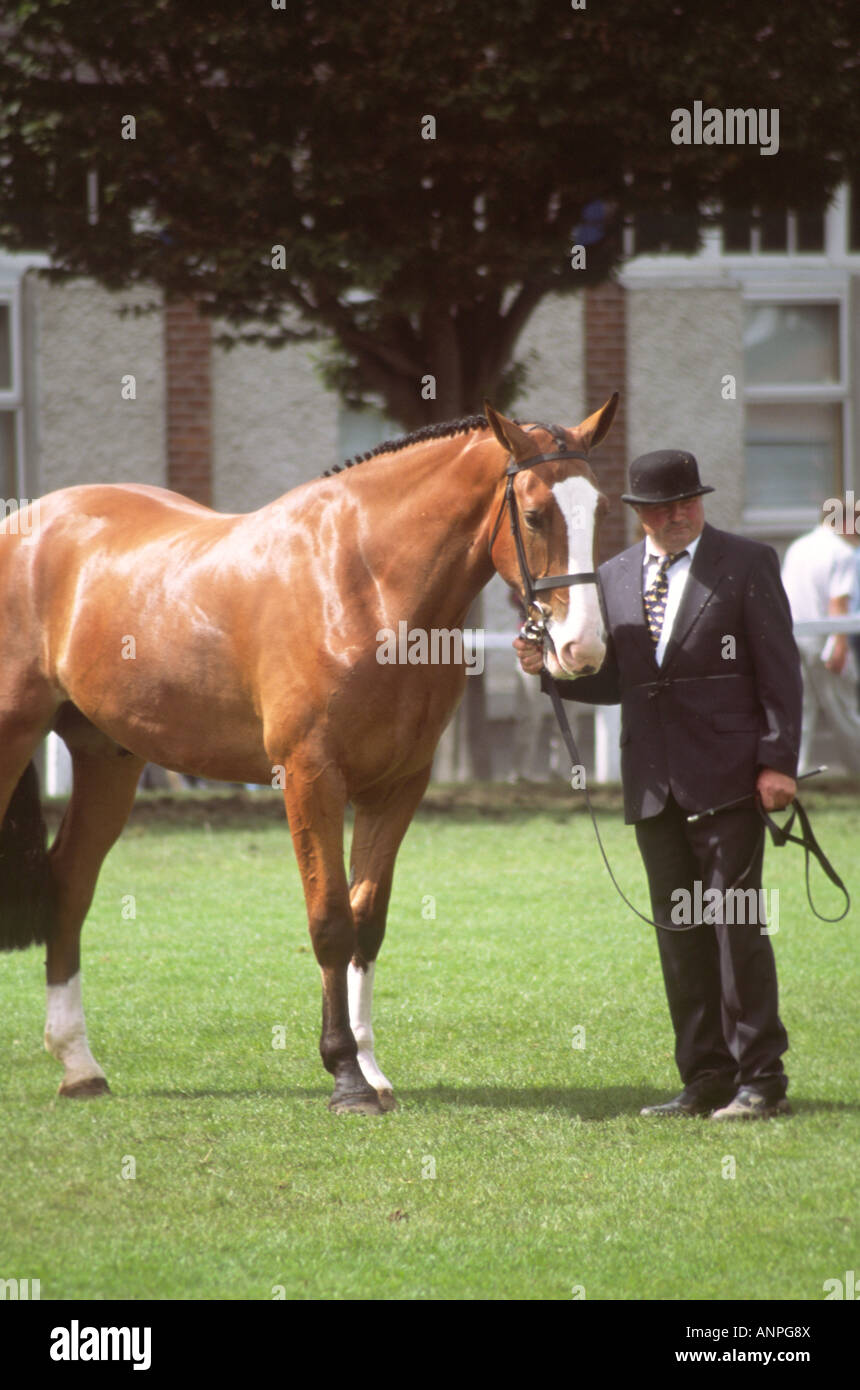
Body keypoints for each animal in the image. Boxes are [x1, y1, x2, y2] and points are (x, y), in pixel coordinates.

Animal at [0, 395, 616, 1114]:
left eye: (602, 509)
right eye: (536, 513)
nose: (582, 648)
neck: (365, 583)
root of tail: (25, 525)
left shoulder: (397, 785)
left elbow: (366, 921)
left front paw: (372, 1069)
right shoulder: (310, 776)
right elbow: (329, 922)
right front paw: (346, 1076)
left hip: (108, 757)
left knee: (70, 885)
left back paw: (79, 1066)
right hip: (14, 734)